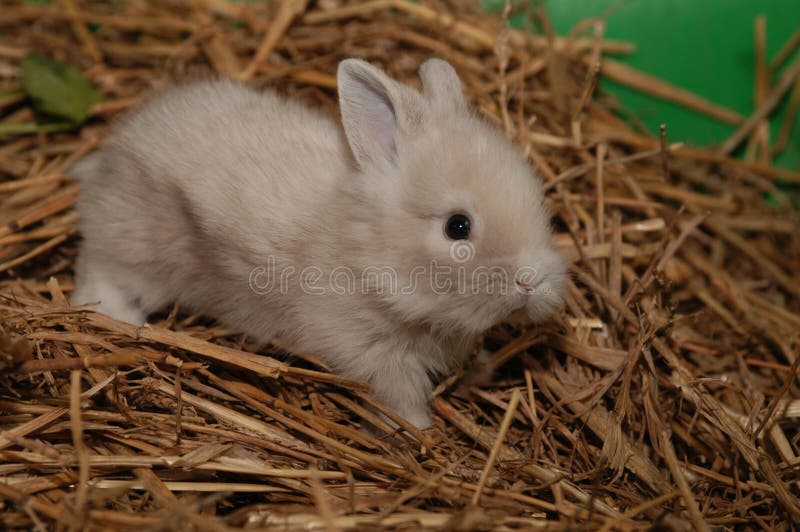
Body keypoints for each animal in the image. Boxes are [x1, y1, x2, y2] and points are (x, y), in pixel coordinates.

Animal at [70, 58, 567, 429]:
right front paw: (419, 433)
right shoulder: (374, 358)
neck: (369, 252)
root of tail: (117, 148)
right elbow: (399, 403)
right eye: (458, 227)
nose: (532, 281)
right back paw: (119, 315)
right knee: (99, 269)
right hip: (138, 241)